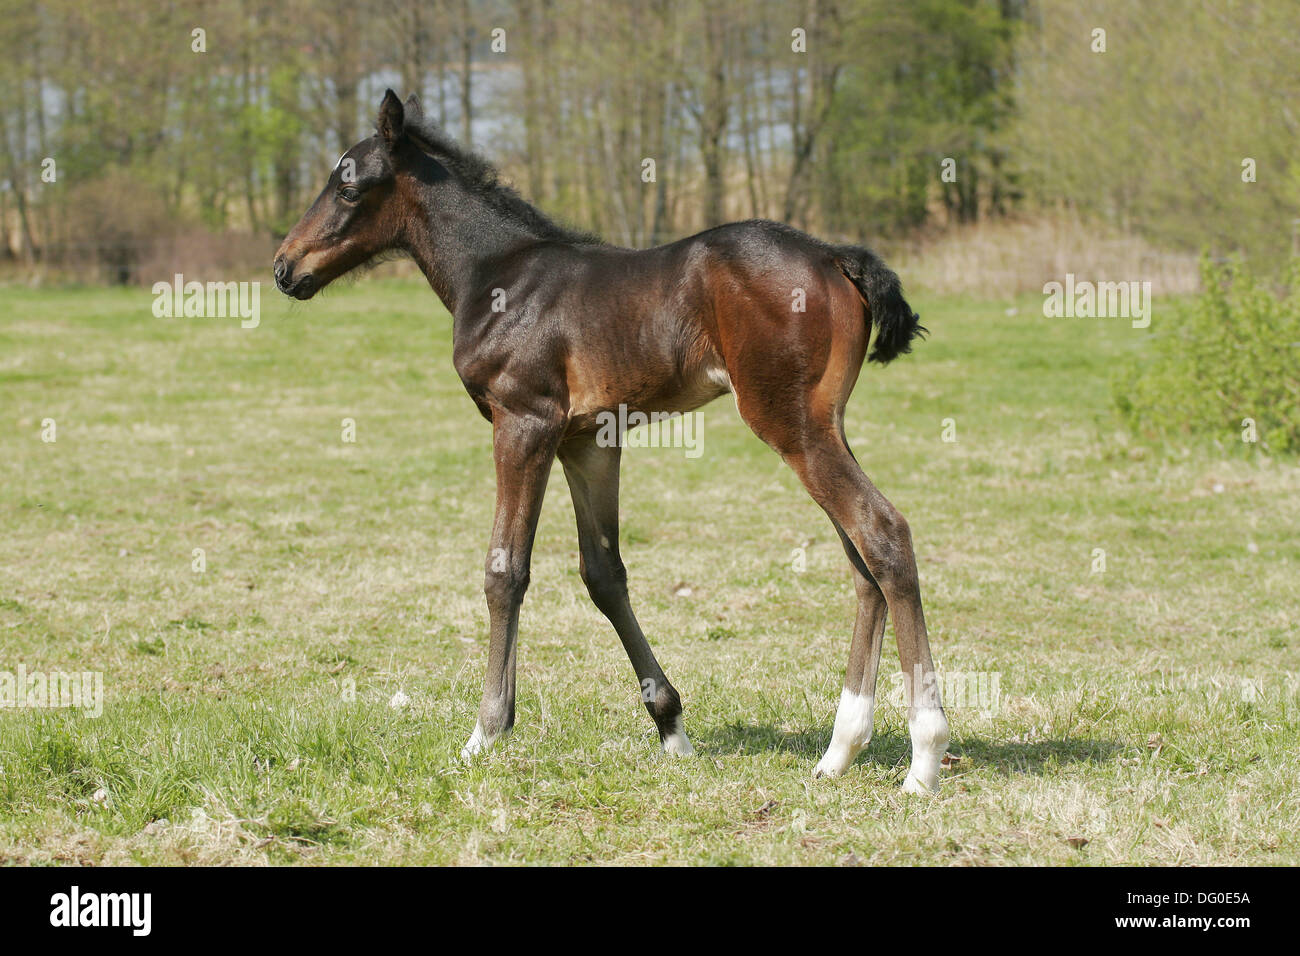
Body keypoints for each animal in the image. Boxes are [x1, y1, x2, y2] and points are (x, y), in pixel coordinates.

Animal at [274, 90, 950, 793]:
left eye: (348, 188)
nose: (284, 268)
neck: (498, 276)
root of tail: (832, 256)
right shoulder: (587, 441)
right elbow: (603, 574)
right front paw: (671, 726)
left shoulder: (524, 422)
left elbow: (505, 569)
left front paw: (485, 733)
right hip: (823, 424)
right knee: (863, 564)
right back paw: (841, 749)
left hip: (790, 425)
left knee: (883, 533)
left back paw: (924, 756)